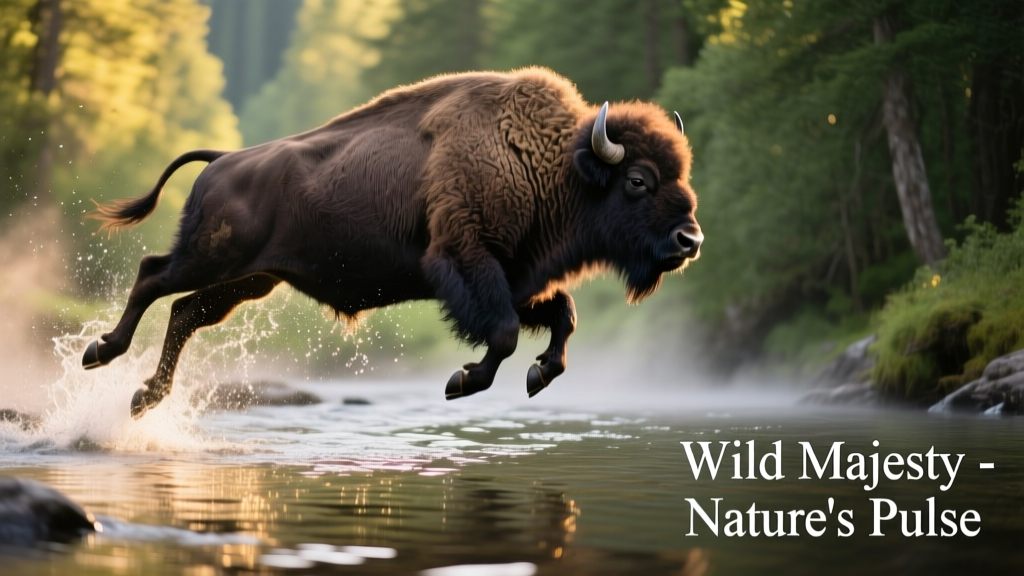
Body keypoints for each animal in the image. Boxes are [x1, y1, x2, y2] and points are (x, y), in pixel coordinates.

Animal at [82, 67, 703, 418]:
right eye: (638, 180)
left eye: (683, 173)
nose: (690, 239)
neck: (551, 164)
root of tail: (224, 160)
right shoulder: (468, 262)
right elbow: (503, 334)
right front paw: (462, 382)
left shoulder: (520, 279)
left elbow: (562, 317)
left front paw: (538, 374)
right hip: (211, 258)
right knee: (152, 276)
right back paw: (101, 352)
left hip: (249, 281)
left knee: (186, 312)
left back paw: (144, 397)